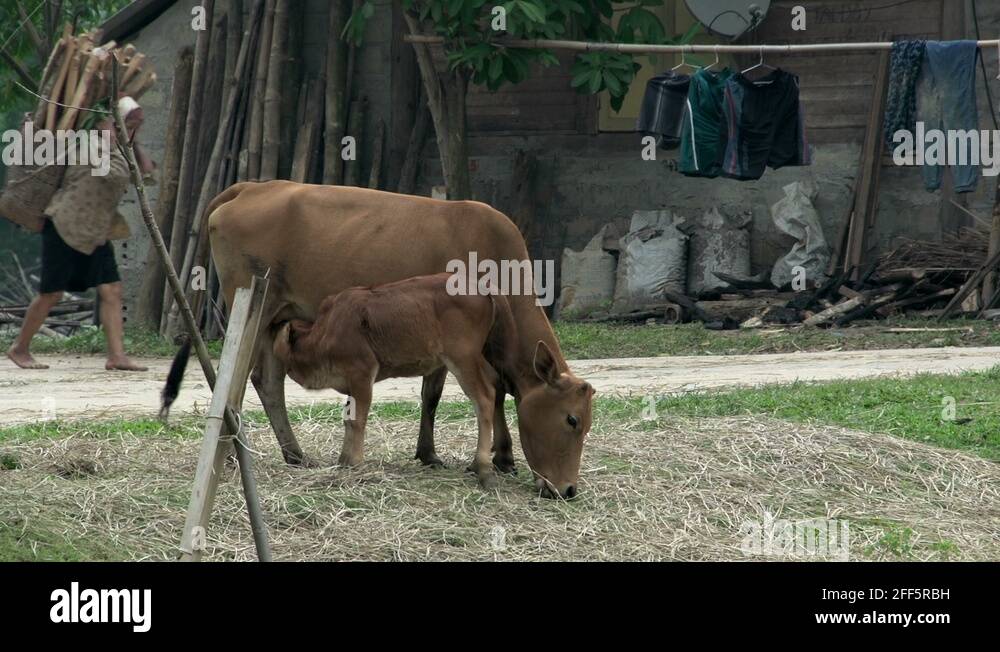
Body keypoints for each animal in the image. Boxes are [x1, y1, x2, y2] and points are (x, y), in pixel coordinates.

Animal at [207, 181, 593, 498]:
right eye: (571, 420)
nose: (568, 490)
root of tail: (251, 187)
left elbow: (434, 396)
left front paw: (435, 453)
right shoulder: (461, 347)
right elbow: (491, 391)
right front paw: (498, 456)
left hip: (278, 318)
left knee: (268, 381)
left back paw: (294, 454)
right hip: (253, 308)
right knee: (239, 381)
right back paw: (233, 456)